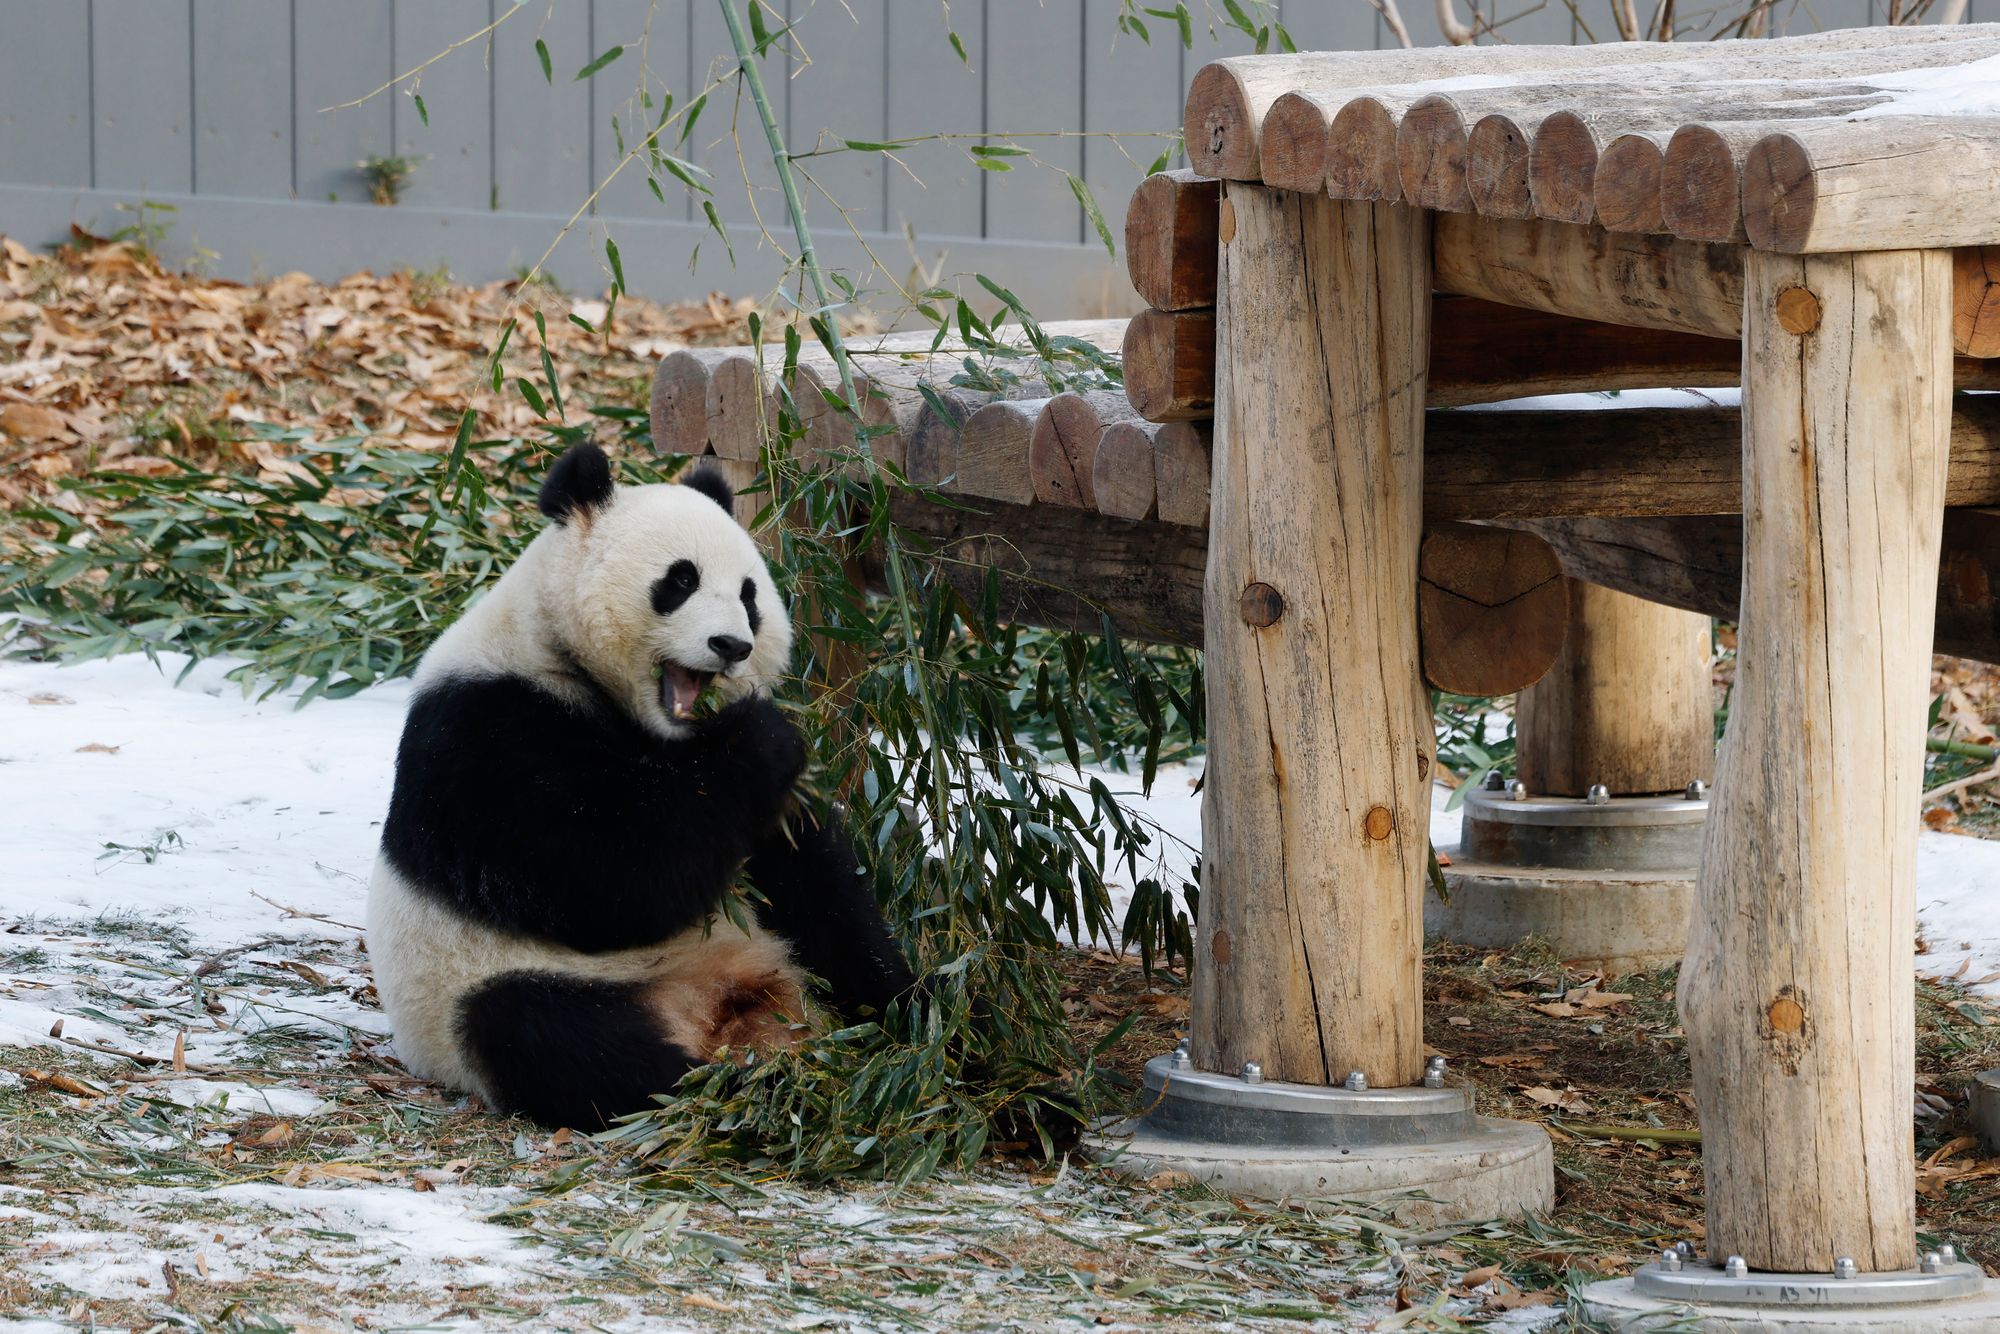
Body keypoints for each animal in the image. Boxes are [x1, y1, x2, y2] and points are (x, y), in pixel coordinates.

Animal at [364, 441, 917, 1130]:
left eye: (749, 595)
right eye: (680, 581)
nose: (731, 645)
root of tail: (712, 1006)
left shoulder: (763, 823)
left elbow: (820, 887)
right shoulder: (485, 728)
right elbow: (600, 877)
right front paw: (762, 736)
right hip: (482, 987)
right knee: (551, 1035)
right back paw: (750, 1092)